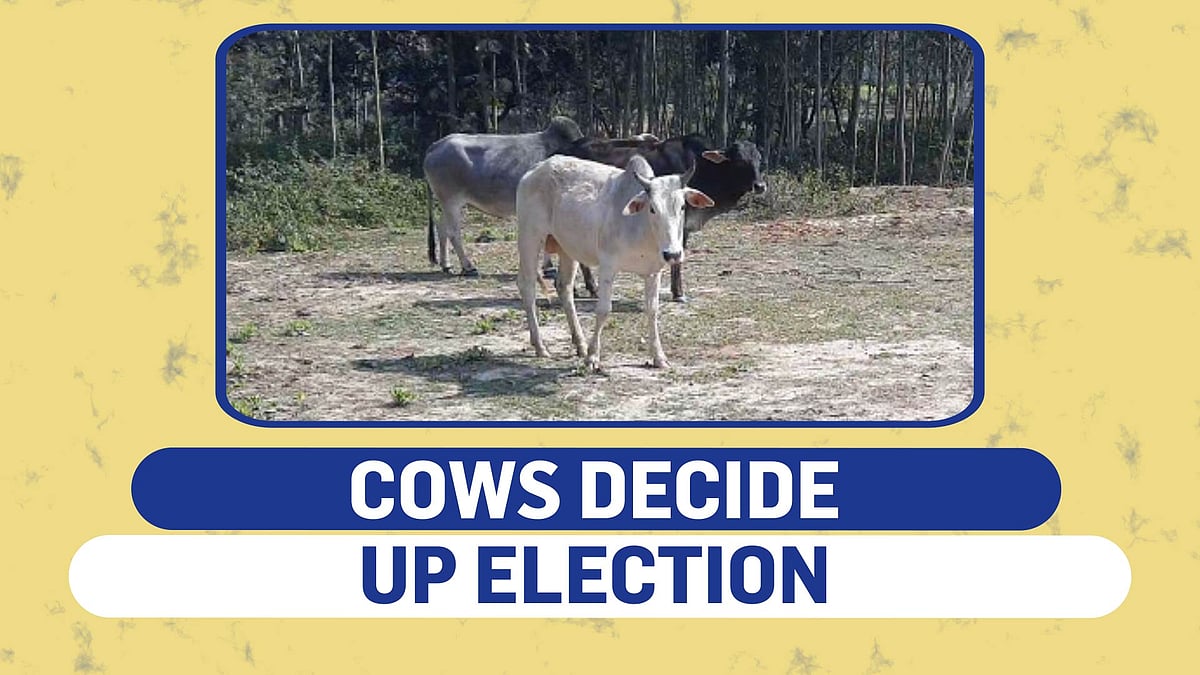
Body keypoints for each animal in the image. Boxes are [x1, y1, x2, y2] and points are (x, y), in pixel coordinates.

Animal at [423, 116, 584, 276]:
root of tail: (436, 145)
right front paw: (549, 267)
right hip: (452, 202)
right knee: (453, 233)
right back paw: (469, 267)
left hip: (447, 204)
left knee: (442, 229)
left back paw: (447, 265)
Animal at [516, 155, 715, 371]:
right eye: (653, 208)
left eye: (682, 206)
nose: (673, 254)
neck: (642, 228)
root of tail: (536, 169)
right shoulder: (607, 266)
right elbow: (604, 309)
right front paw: (593, 358)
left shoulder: (653, 272)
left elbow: (652, 310)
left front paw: (659, 357)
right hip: (530, 237)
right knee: (527, 286)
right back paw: (541, 346)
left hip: (568, 248)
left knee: (564, 287)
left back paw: (580, 344)